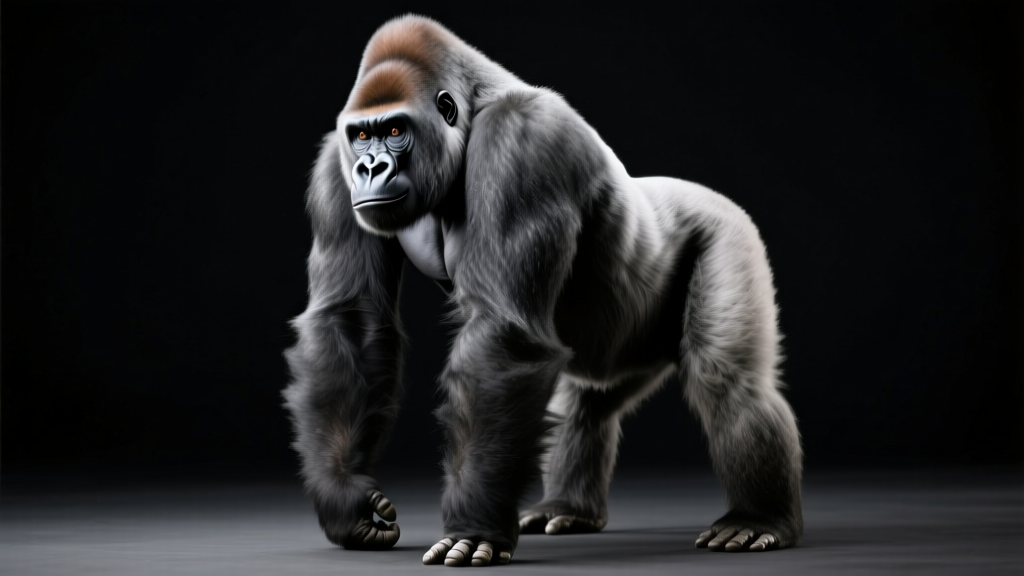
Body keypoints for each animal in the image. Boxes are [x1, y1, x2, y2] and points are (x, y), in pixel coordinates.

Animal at [282, 15, 803, 567]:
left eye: (396, 130)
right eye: (362, 136)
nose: (370, 168)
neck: (472, 111)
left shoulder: (522, 141)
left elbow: (502, 333)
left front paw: (475, 525)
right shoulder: (333, 167)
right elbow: (354, 320)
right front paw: (345, 496)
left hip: (729, 229)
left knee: (727, 379)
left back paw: (759, 518)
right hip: (619, 351)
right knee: (586, 403)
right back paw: (569, 507)